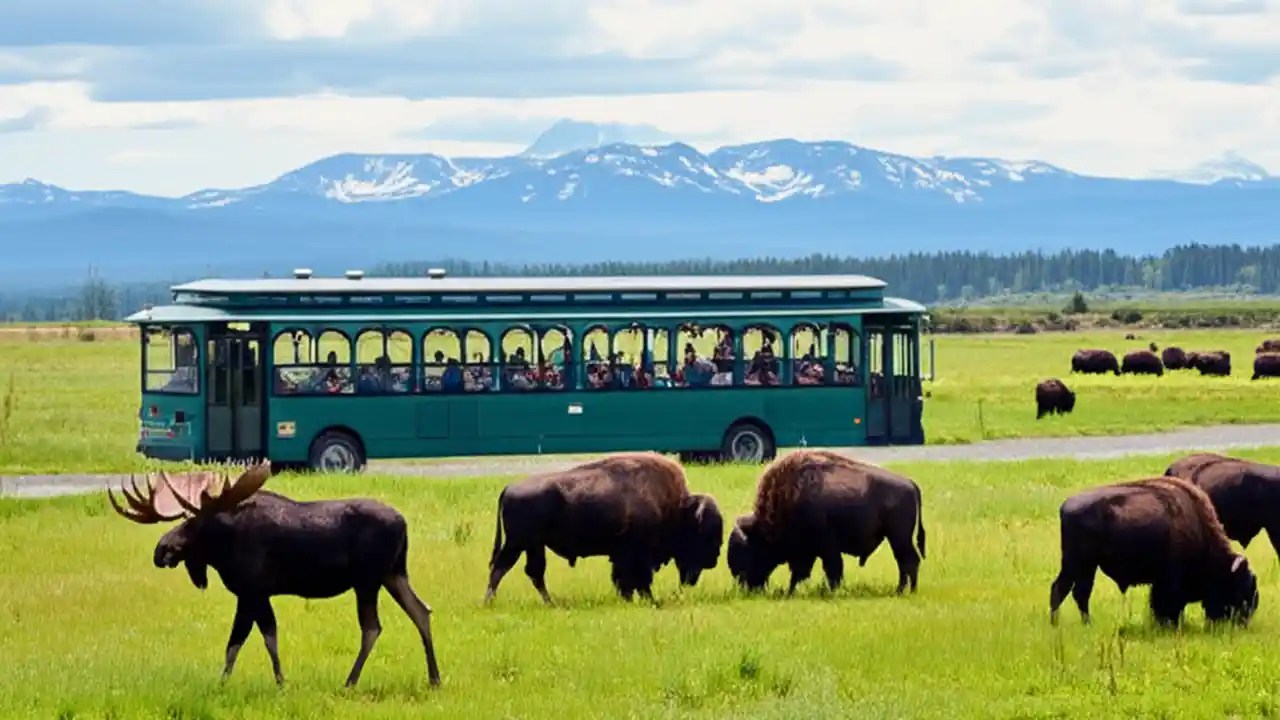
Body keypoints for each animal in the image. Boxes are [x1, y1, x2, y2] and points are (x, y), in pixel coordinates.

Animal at [106, 460, 442, 688]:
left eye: (193, 525)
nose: (161, 550)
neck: (224, 545)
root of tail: (404, 523)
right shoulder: (249, 594)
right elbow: (242, 641)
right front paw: (226, 683)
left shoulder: (253, 591)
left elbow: (260, 638)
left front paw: (278, 682)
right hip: (394, 574)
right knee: (421, 611)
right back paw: (434, 678)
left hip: (368, 580)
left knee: (373, 627)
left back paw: (350, 681)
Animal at [483, 452, 724, 604]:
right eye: (705, 533)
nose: (714, 559)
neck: (675, 507)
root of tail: (509, 487)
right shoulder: (636, 554)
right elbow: (638, 579)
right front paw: (649, 600)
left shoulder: (622, 555)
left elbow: (624, 579)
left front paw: (630, 599)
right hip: (517, 543)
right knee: (501, 568)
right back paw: (489, 602)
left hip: (534, 545)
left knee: (533, 573)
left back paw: (551, 603)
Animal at [727, 450, 925, 595]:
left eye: (748, 550)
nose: (747, 587)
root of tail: (910, 483)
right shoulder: (809, 552)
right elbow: (801, 573)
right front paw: (791, 592)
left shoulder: (825, 548)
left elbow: (829, 570)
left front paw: (831, 591)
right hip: (897, 539)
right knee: (905, 562)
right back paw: (905, 590)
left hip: (899, 538)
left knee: (908, 561)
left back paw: (905, 591)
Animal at [1048, 475, 1259, 627]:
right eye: (1239, 587)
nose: (1242, 621)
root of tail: (1065, 506)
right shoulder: (1170, 580)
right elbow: (1166, 603)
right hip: (1078, 563)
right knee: (1065, 589)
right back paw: (1064, 623)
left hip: (1085, 567)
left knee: (1076, 592)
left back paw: (1078, 623)